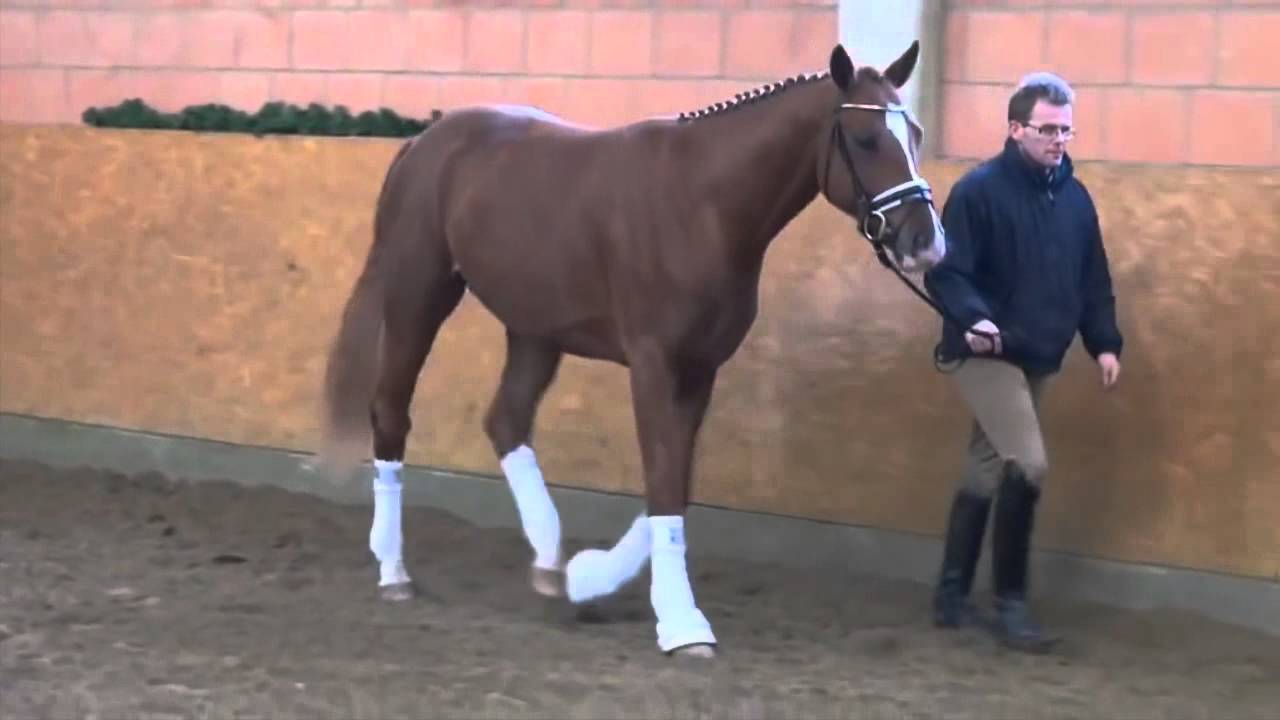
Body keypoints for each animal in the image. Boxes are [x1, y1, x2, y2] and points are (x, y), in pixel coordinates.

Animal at [314, 41, 946, 659]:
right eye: (865, 138)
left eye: (914, 133)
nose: (925, 242)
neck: (702, 205)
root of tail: (422, 142)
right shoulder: (652, 363)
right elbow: (663, 480)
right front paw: (683, 626)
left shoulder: (700, 369)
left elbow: (677, 482)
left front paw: (592, 577)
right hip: (419, 296)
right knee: (391, 412)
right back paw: (394, 572)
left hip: (535, 329)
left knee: (505, 420)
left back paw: (549, 560)